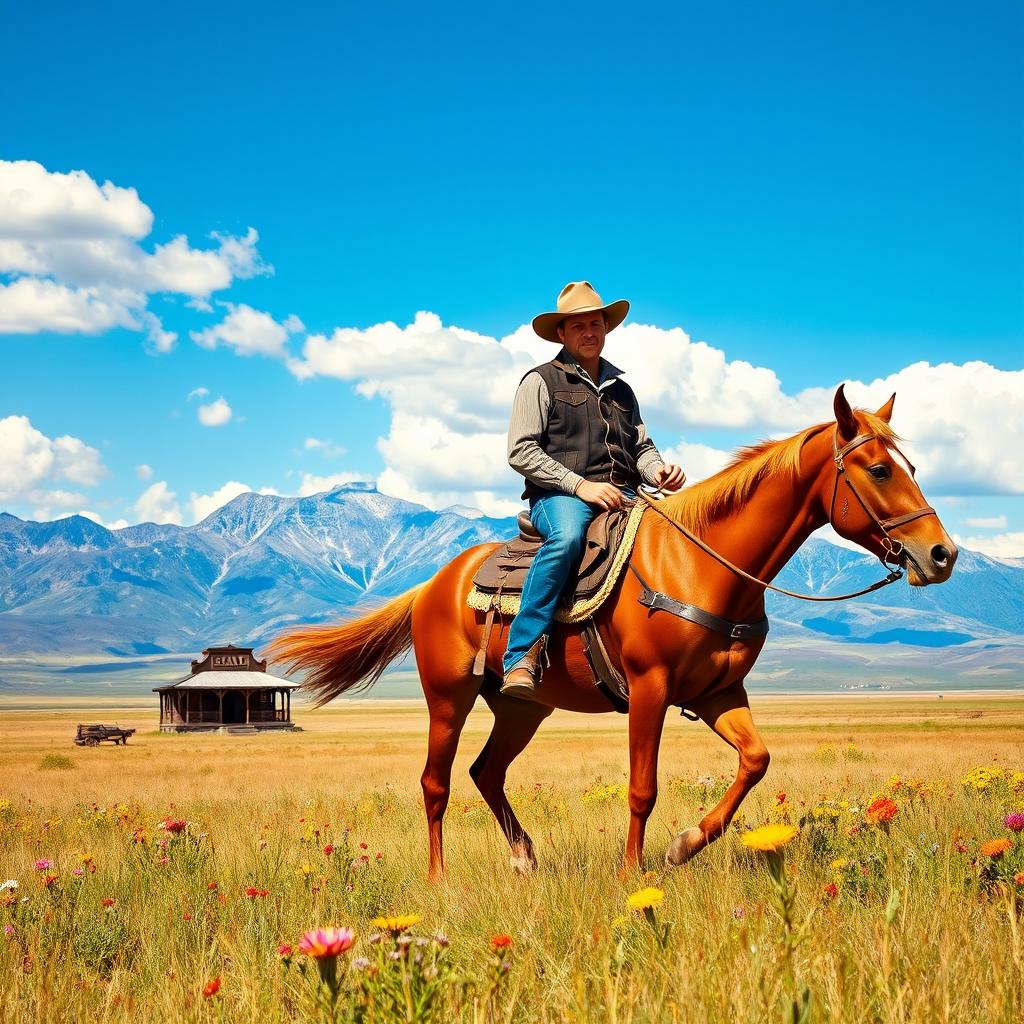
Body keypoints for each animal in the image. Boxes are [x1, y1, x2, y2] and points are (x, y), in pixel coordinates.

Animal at [267, 385, 957, 879]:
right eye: (878, 470)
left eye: (911, 466)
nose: (942, 554)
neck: (702, 563)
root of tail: (435, 583)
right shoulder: (650, 690)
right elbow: (642, 787)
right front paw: (634, 871)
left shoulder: (717, 693)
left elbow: (756, 760)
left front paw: (684, 845)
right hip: (447, 698)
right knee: (436, 783)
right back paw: (439, 880)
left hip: (522, 707)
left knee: (486, 773)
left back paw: (526, 858)